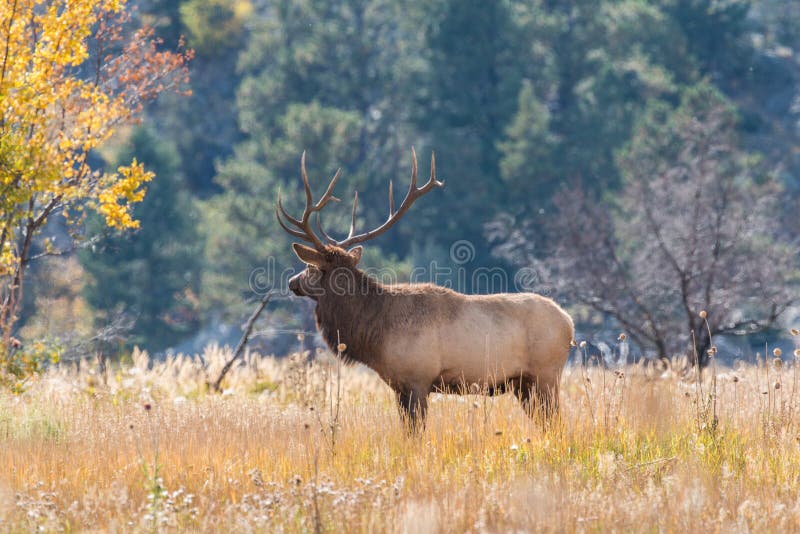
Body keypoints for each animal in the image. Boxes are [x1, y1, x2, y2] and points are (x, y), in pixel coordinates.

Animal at [276, 149, 574, 432]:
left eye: (311, 267)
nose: (291, 282)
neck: (376, 335)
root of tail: (569, 323)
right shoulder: (399, 385)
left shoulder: (417, 379)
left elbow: (415, 433)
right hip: (523, 384)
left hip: (546, 374)